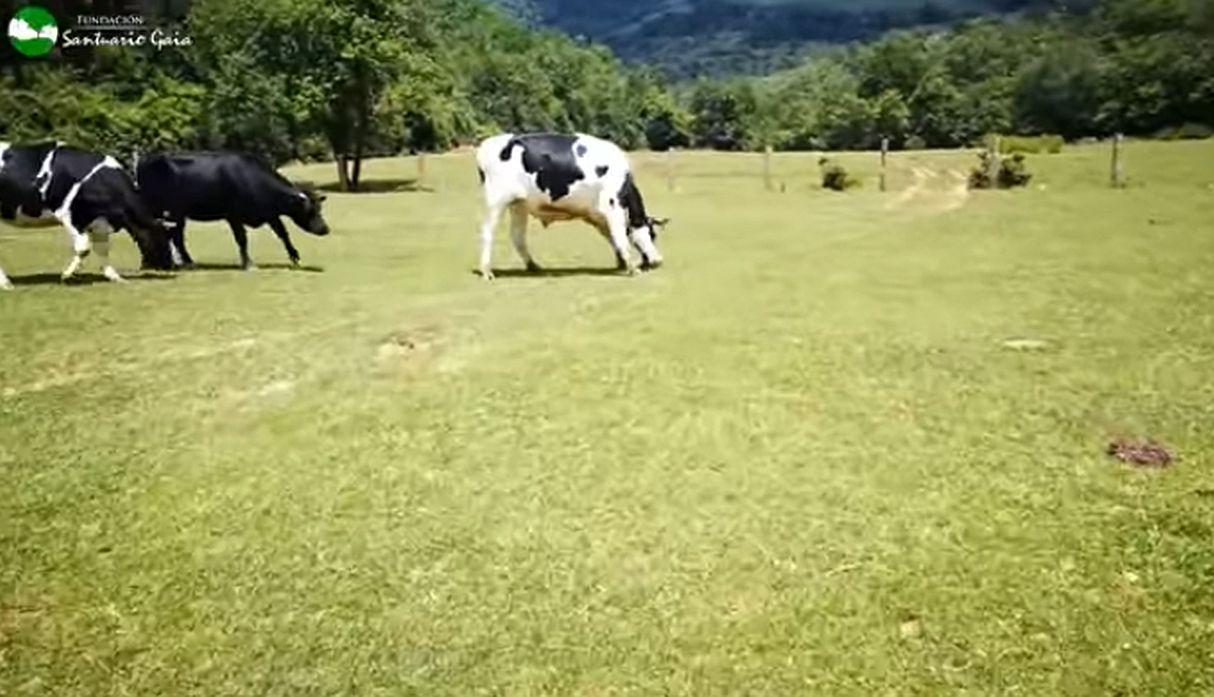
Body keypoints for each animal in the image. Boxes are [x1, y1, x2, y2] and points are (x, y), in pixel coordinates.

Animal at [0, 142, 174, 290]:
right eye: (162, 238)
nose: (170, 265)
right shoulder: (69, 215)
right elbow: (84, 248)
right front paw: (66, 274)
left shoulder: (99, 221)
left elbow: (102, 249)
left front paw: (115, 277)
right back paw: (6, 284)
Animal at [135, 152, 331, 270]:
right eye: (310, 210)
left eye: (319, 207)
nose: (325, 229)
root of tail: (147, 161)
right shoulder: (233, 215)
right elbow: (242, 239)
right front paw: (248, 263)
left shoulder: (269, 213)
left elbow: (282, 233)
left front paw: (294, 256)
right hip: (170, 211)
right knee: (170, 235)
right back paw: (183, 262)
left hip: (175, 214)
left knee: (169, 235)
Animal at [474, 133, 668, 280]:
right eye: (646, 237)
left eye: (654, 235)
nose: (657, 261)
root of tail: (488, 144)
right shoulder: (613, 206)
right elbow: (619, 236)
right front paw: (631, 267)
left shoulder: (597, 215)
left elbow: (611, 237)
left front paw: (620, 262)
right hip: (496, 201)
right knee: (487, 232)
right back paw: (487, 271)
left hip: (519, 204)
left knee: (517, 236)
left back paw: (533, 266)